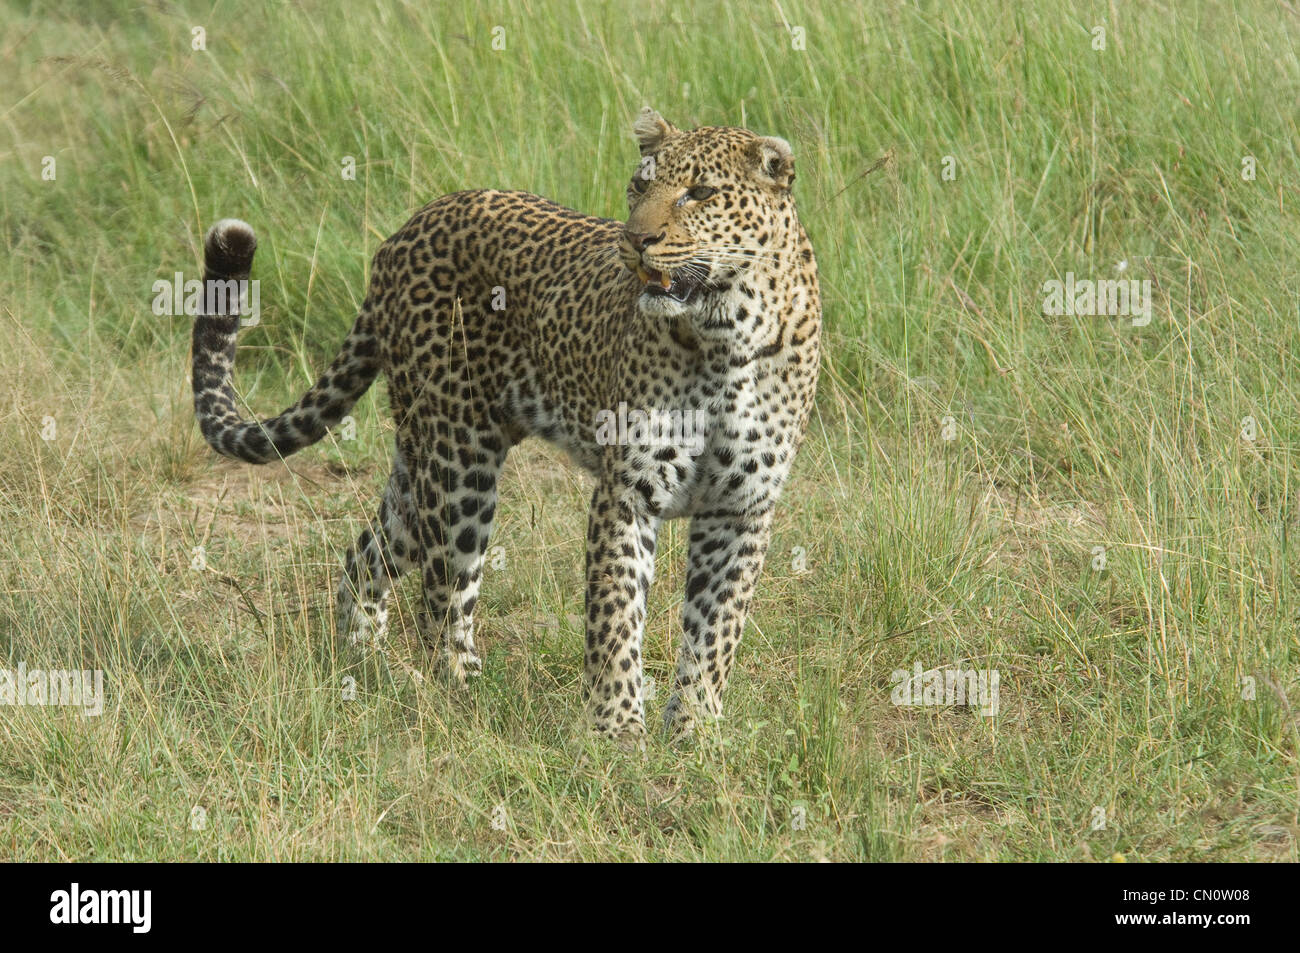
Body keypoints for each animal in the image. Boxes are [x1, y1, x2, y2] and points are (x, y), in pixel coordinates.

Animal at [191, 107, 822, 745]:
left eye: (701, 193)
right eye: (640, 186)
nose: (636, 241)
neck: (728, 331)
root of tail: (406, 229)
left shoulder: (741, 507)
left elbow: (716, 629)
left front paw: (696, 730)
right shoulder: (627, 492)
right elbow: (616, 617)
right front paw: (617, 732)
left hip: (422, 463)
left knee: (370, 550)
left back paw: (366, 666)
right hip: (456, 459)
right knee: (442, 598)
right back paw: (462, 694)